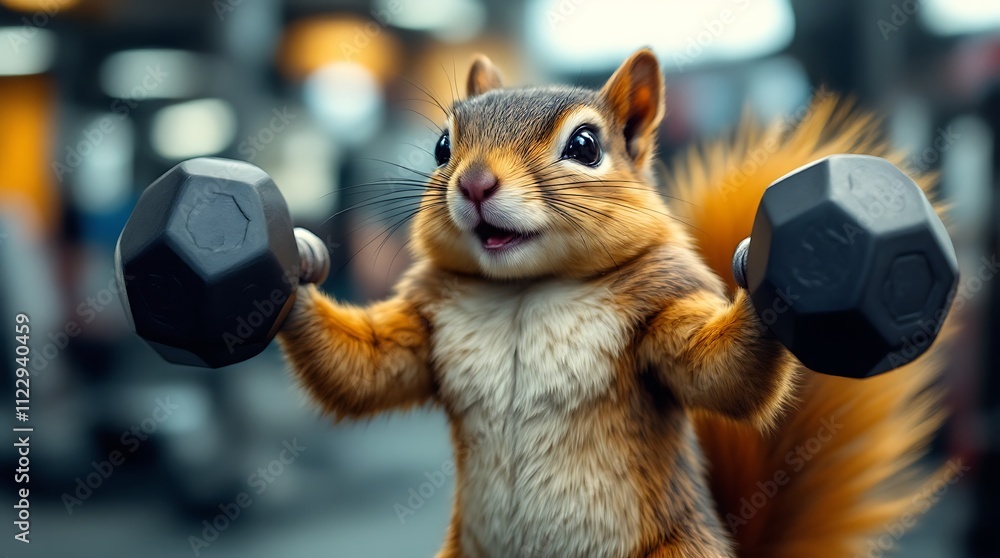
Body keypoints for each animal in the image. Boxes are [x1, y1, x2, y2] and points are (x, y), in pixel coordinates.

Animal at [277, 49, 951, 558]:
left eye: (584, 145)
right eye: (443, 145)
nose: (474, 183)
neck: (525, 290)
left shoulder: (658, 311)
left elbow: (717, 375)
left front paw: (776, 275)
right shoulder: (424, 324)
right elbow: (367, 371)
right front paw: (287, 271)